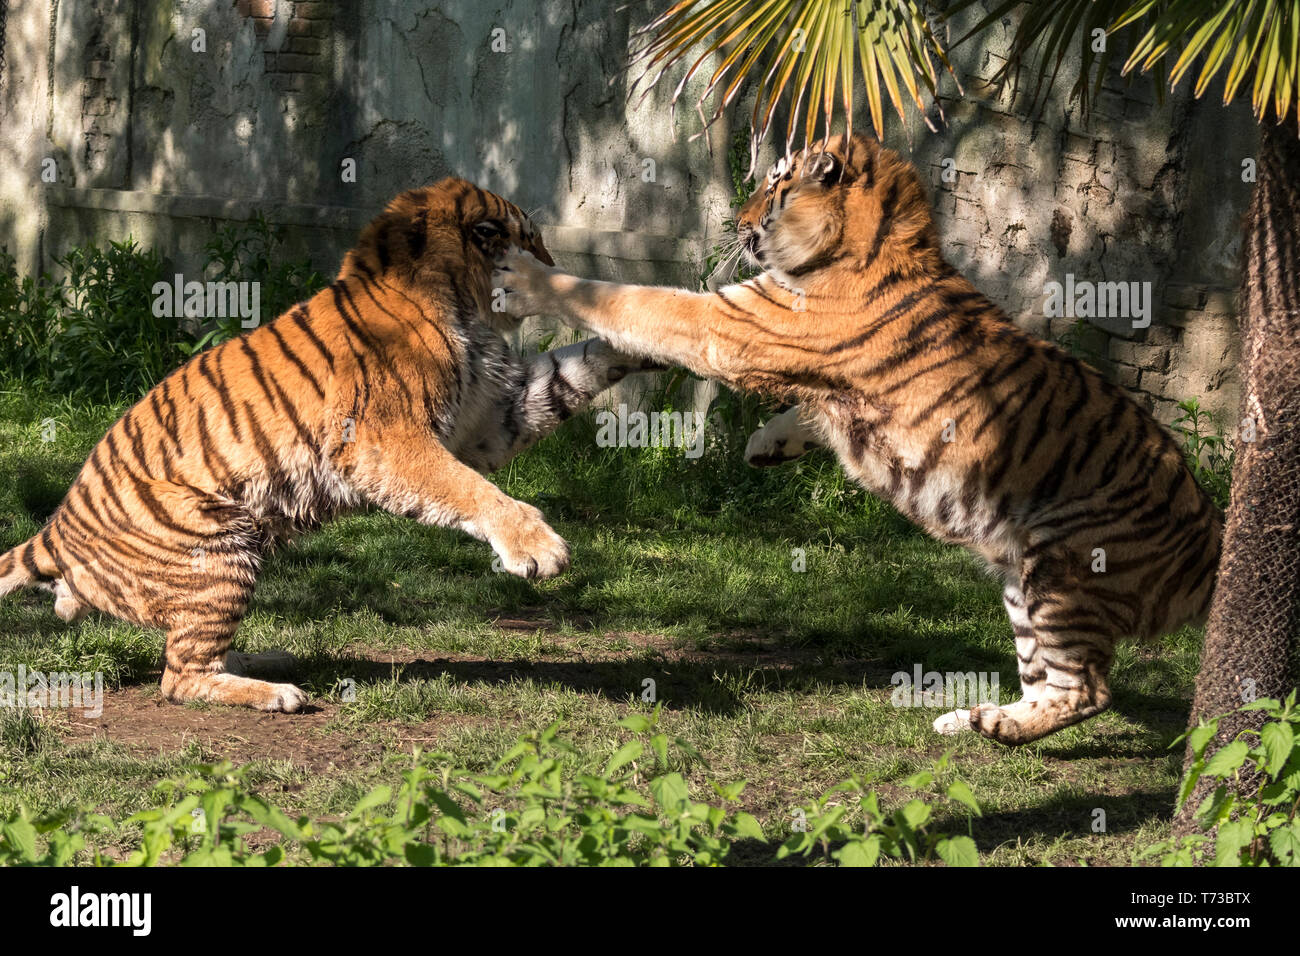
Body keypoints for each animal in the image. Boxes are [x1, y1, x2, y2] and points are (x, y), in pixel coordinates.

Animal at [0, 178, 653, 713]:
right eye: (516, 240)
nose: (551, 275)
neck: (459, 308)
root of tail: (55, 527)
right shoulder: (388, 441)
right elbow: (470, 489)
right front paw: (537, 549)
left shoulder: (491, 417)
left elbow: (572, 371)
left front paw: (643, 335)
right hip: (218, 541)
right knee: (179, 676)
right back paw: (273, 692)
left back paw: (262, 659)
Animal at [491, 132, 1223, 746]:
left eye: (775, 183)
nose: (738, 221)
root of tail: (1209, 534)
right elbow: (804, 411)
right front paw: (766, 445)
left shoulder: (734, 323)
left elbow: (624, 296)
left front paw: (522, 279)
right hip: (1021, 575)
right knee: (1052, 681)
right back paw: (972, 718)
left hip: (1064, 568)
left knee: (1088, 690)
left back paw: (991, 726)